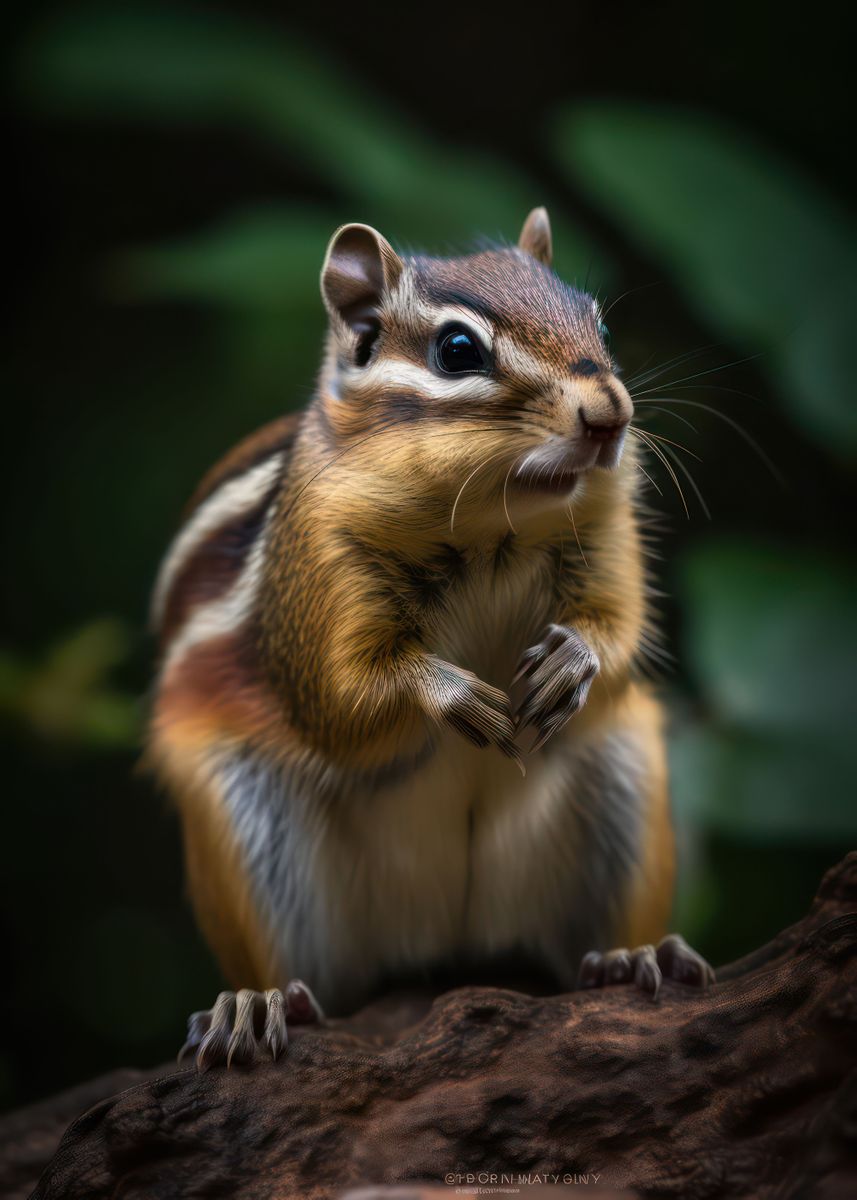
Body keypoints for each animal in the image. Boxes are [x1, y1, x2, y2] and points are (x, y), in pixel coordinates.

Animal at [148, 207, 714, 1069]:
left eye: (598, 320)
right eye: (456, 351)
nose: (609, 415)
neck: (491, 518)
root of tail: (442, 946)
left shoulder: (606, 532)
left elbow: (618, 628)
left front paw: (572, 661)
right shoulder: (313, 576)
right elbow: (337, 701)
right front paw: (450, 694)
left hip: (625, 772)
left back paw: (632, 955)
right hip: (243, 820)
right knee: (302, 976)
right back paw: (254, 1003)